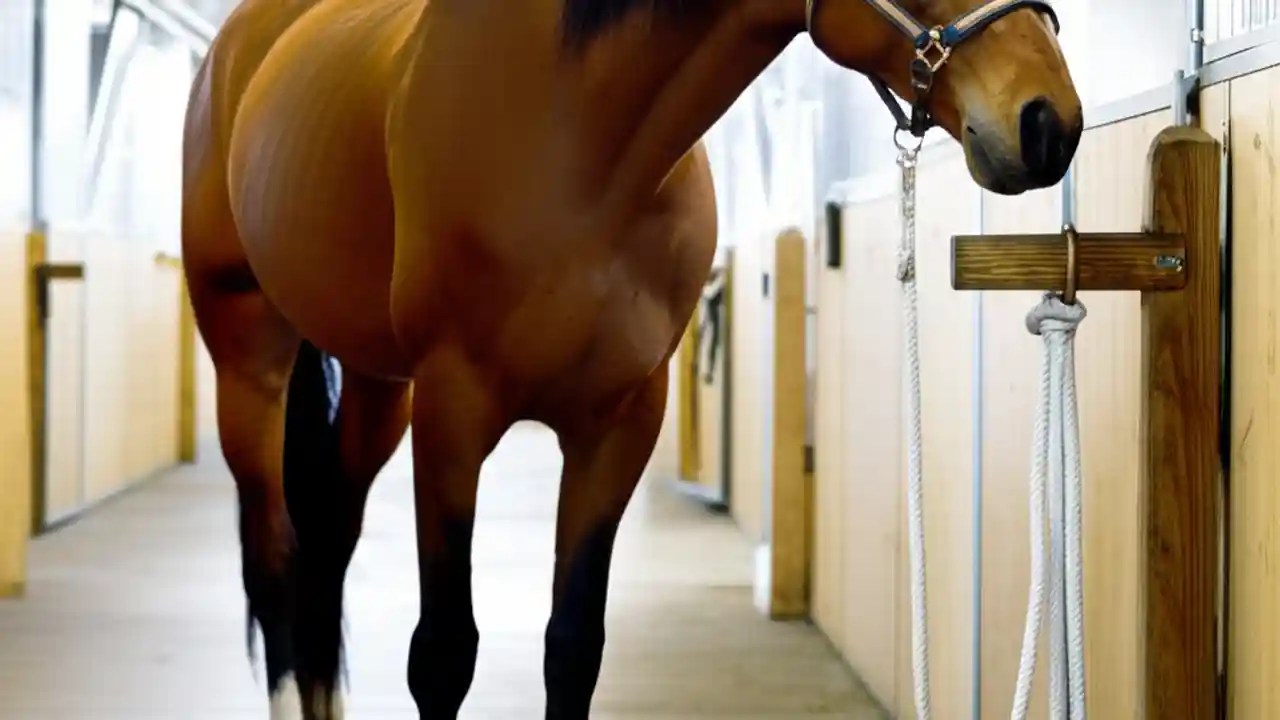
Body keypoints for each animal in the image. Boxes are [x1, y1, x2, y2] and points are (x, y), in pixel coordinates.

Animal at [180, 0, 1080, 716]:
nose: (1049, 122)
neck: (580, 140)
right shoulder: (452, 416)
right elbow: (442, 653)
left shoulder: (620, 423)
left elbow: (574, 644)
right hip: (250, 359)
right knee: (275, 560)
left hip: (374, 385)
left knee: (327, 543)